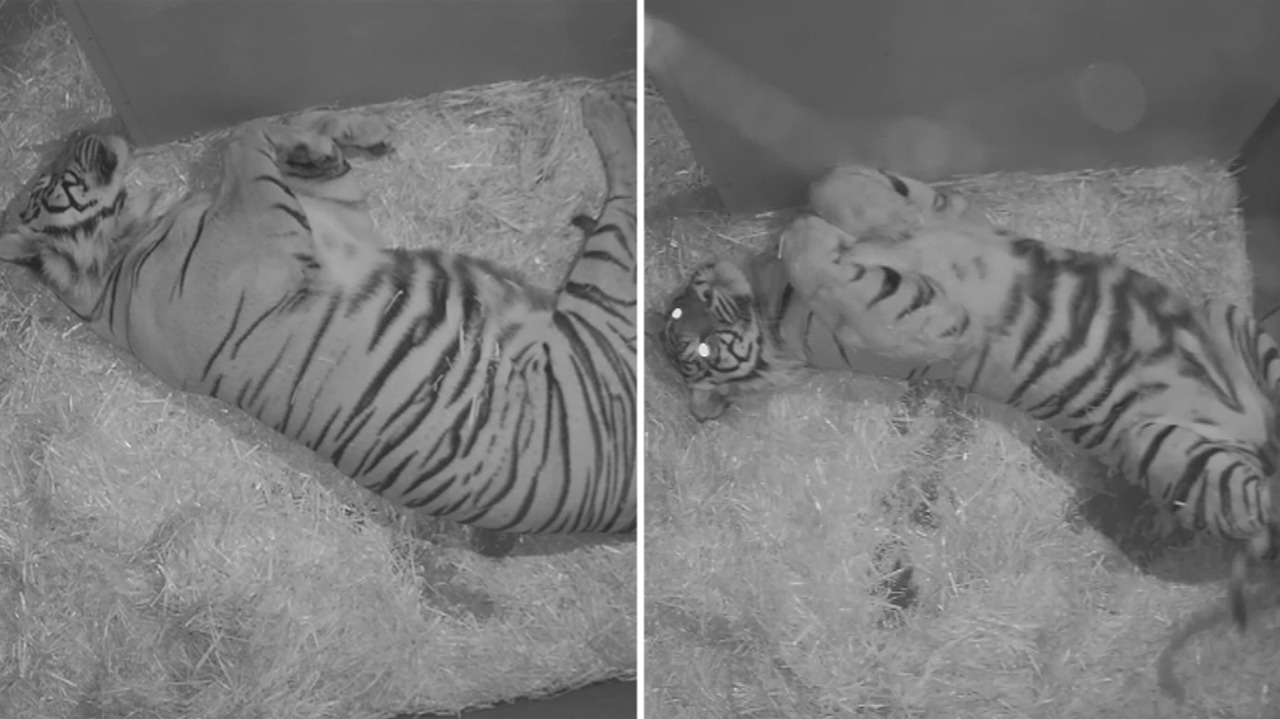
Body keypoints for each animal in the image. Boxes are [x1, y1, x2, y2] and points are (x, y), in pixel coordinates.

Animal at [0, 90, 637, 536]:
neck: (125, 243)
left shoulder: (332, 213)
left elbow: (288, 142)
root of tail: (618, 508)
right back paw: (607, 108)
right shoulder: (275, 228)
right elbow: (242, 135)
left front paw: (347, 135)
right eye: (46, 177)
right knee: (624, 200)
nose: (83, 129)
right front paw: (315, 136)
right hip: (597, 304)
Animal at [778, 209, 1280, 629]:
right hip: (1165, 444)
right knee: (1259, 504)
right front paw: (808, 234)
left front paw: (805, 231)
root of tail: (1256, 432)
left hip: (1226, 332)